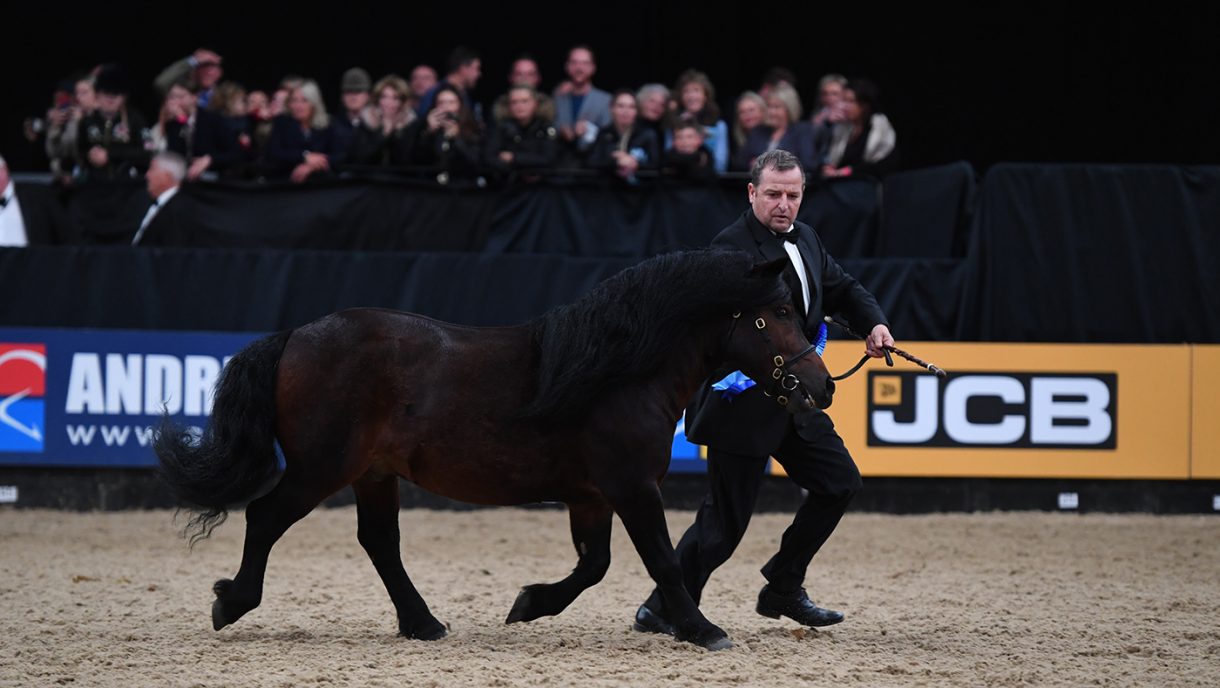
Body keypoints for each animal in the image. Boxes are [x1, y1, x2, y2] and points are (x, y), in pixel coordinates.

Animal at [155, 249, 836, 651]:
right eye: (777, 311)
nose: (824, 386)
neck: (620, 373)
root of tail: (296, 335)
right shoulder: (633, 487)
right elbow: (663, 561)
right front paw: (702, 630)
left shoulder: (592, 496)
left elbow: (594, 565)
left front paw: (530, 604)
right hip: (321, 468)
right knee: (265, 517)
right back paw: (232, 603)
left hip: (373, 474)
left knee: (379, 544)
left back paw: (423, 624)